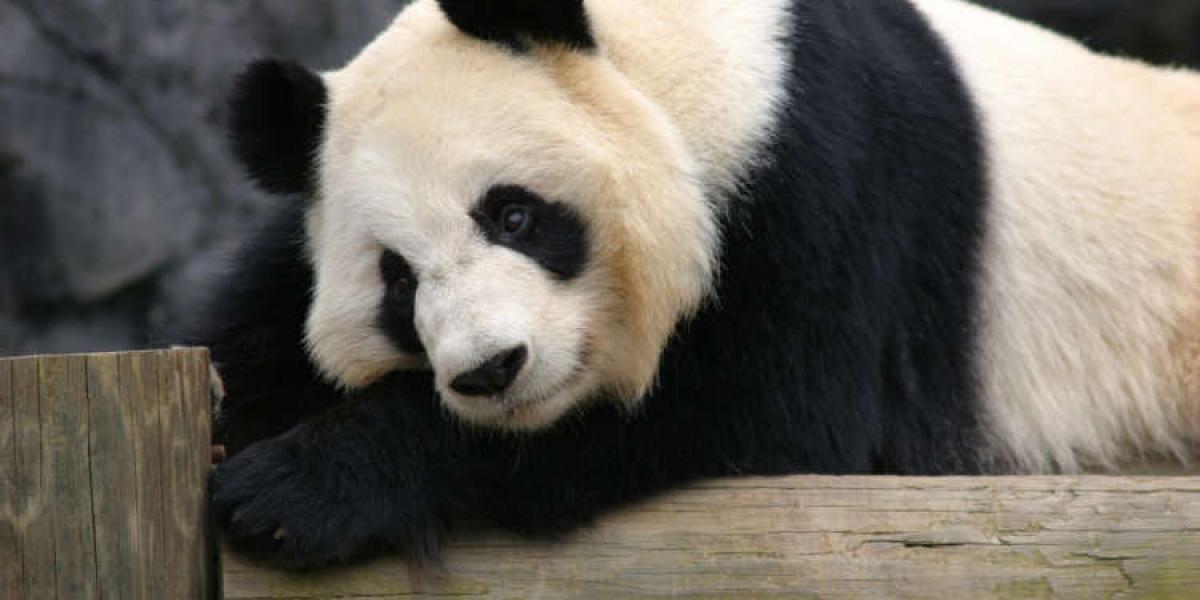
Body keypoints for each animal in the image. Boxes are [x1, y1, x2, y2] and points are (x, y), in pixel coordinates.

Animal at [204, 0, 1200, 567]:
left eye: (514, 215)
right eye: (397, 283)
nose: (491, 371)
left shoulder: (828, 174)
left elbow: (766, 408)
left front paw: (291, 493)